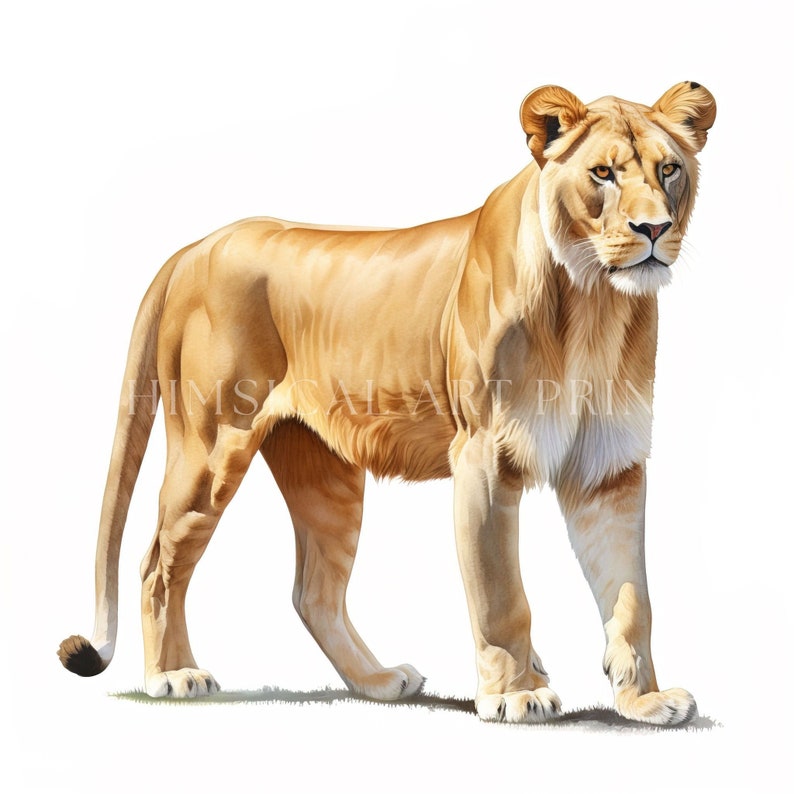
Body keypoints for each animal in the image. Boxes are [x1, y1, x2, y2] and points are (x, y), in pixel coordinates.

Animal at [59, 82, 715, 725]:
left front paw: (644, 700)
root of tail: (194, 248)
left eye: (669, 170)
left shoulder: (610, 466)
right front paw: (516, 695)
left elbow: (631, 597)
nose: (653, 230)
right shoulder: (484, 456)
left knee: (314, 591)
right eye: (603, 173)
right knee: (158, 563)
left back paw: (378, 681)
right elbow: (502, 594)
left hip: (326, 476)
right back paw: (174, 675)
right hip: (211, 448)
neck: (594, 305)